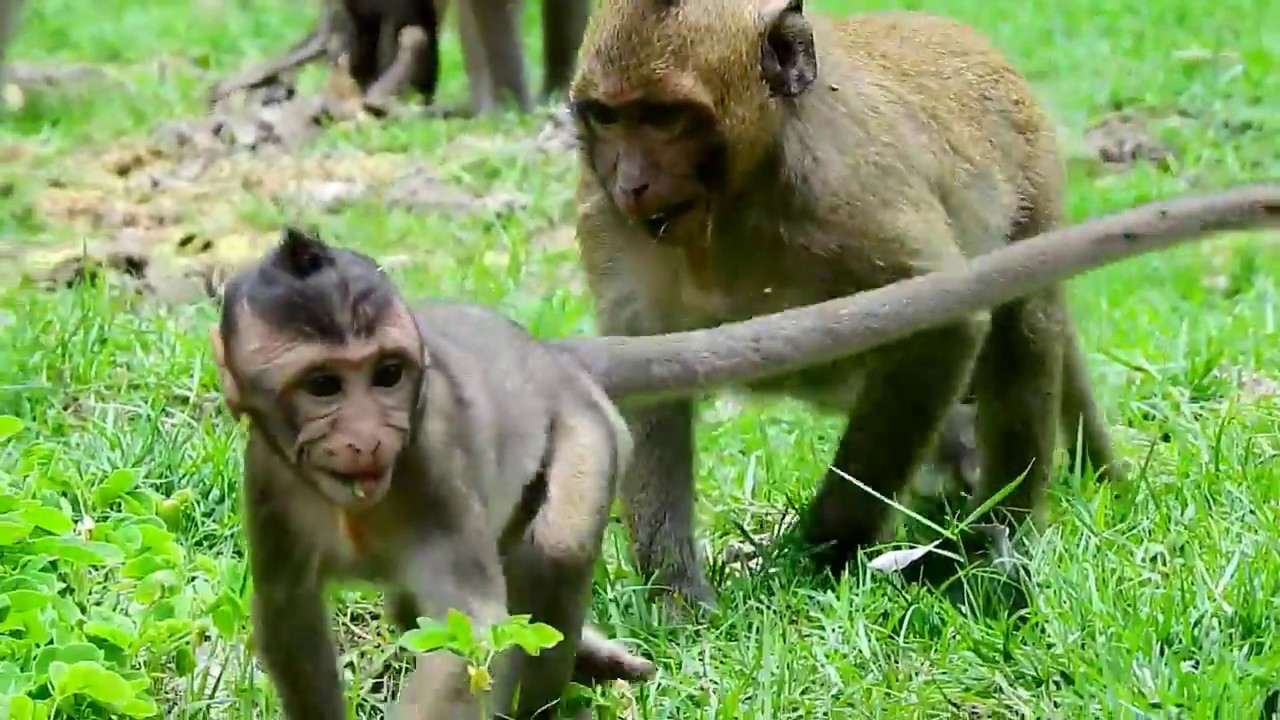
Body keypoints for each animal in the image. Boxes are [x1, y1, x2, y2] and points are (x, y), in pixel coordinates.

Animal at [210, 227, 656, 720]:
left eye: (388, 374)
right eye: (323, 385)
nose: (366, 439)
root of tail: (551, 356)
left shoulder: (435, 458)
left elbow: (470, 624)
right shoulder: (267, 475)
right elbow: (288, 609)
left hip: (590, 425)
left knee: (559, 548)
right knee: (413, 612)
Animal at [564, 0, 1277, 612]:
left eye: (665, 117)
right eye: (607, 116)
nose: (631, 180)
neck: (736, 201)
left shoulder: (846, 191)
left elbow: (945, 319)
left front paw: (822, 549)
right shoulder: (607, 222)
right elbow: (651, 373)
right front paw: (678, 599)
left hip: (1033, 181)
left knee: (1021, 324)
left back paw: (999, 536)